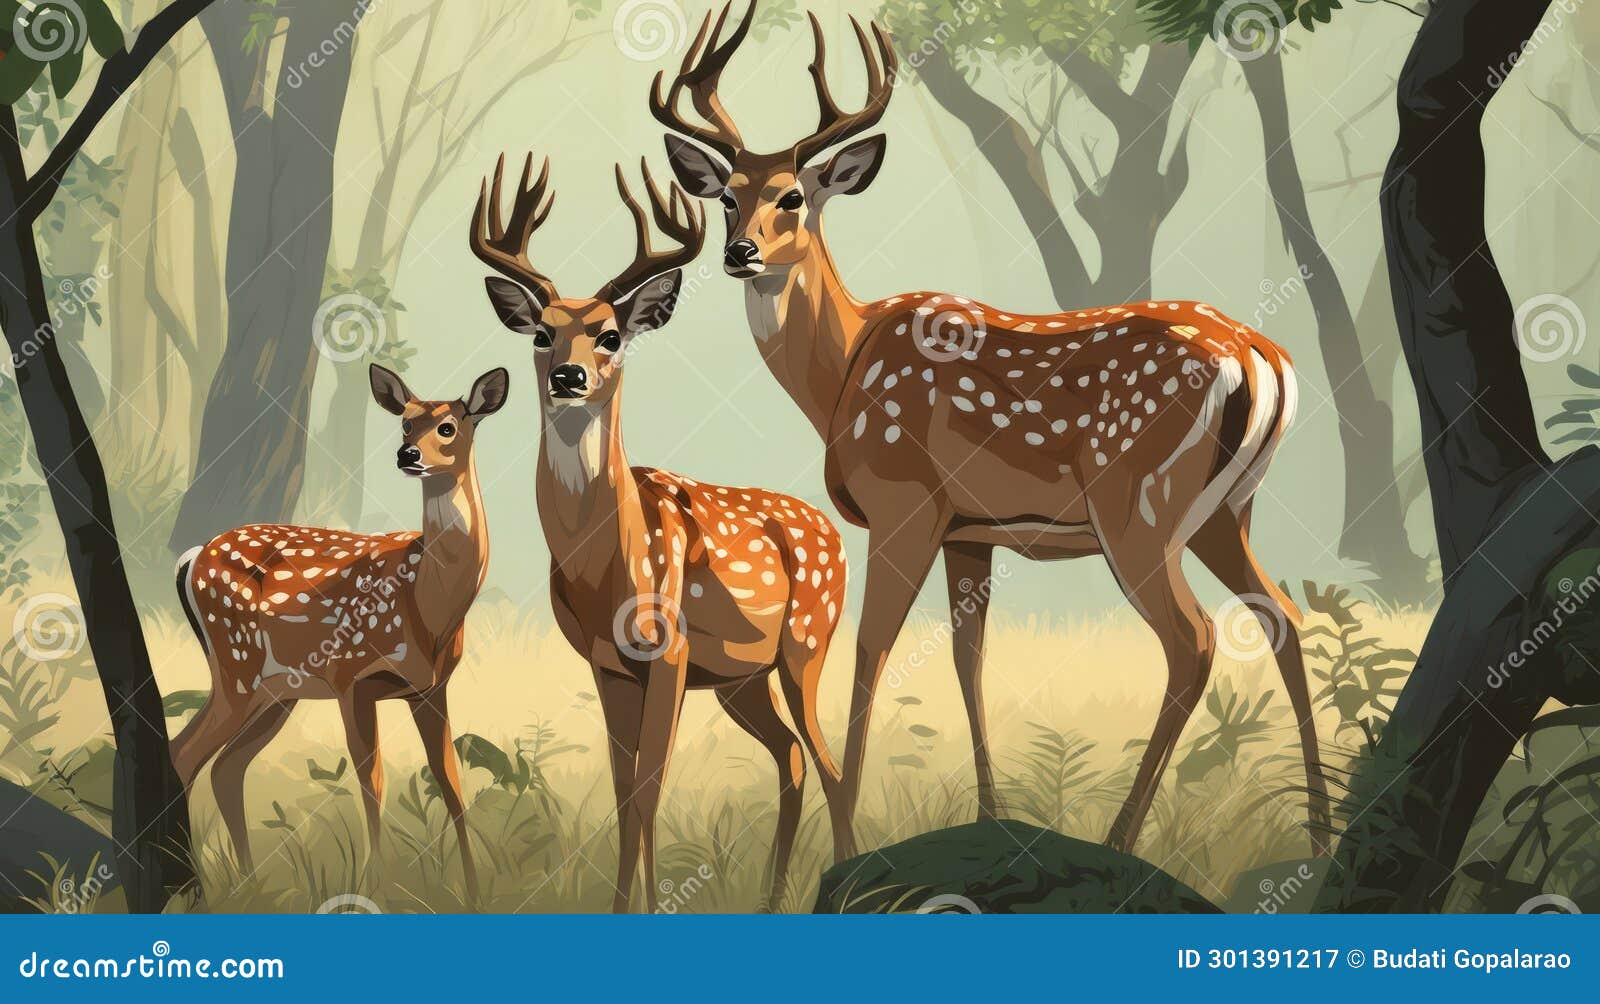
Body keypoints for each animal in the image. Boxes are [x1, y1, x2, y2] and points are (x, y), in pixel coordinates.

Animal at [169, 364, 509, 894]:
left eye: (448, 426)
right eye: (405, 424)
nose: (407, 454)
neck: (427, 605)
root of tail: (192, 558)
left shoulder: (430, 689)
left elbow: (451, 782)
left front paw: (473, 892)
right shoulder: (351, 676)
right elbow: (373, 781)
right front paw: (376, 887)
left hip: (276, 692)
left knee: (225, 767)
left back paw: (247, 884)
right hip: (235, 664)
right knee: (184, 754)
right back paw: (197, 889)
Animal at [471, 152, 852, 912]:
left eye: (611, 335)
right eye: (541, 333)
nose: (569, 375)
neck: (601, 565)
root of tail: (835, 534)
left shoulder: (669, 650)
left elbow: (649, 790)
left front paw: (647, 907)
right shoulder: (607, 662)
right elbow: (625, 796)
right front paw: (626, 906)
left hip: (805, 644)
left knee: (828, 763)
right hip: (741, 679)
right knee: (792, 756)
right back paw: (772, 899)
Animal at [653, 1, 1332, 857]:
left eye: (794, 198)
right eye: (725, 196)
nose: (739, 252)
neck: (842, 372)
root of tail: (1260, 355)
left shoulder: (903, 502)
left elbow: (873, 649)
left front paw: (848, 837)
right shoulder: (969, 530)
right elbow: (966, 658)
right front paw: (987, 814)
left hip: (1135, 500)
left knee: (1195, 639)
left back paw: (1121, 837)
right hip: (1228, 508)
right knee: (1282, 618)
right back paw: (1321, 838)